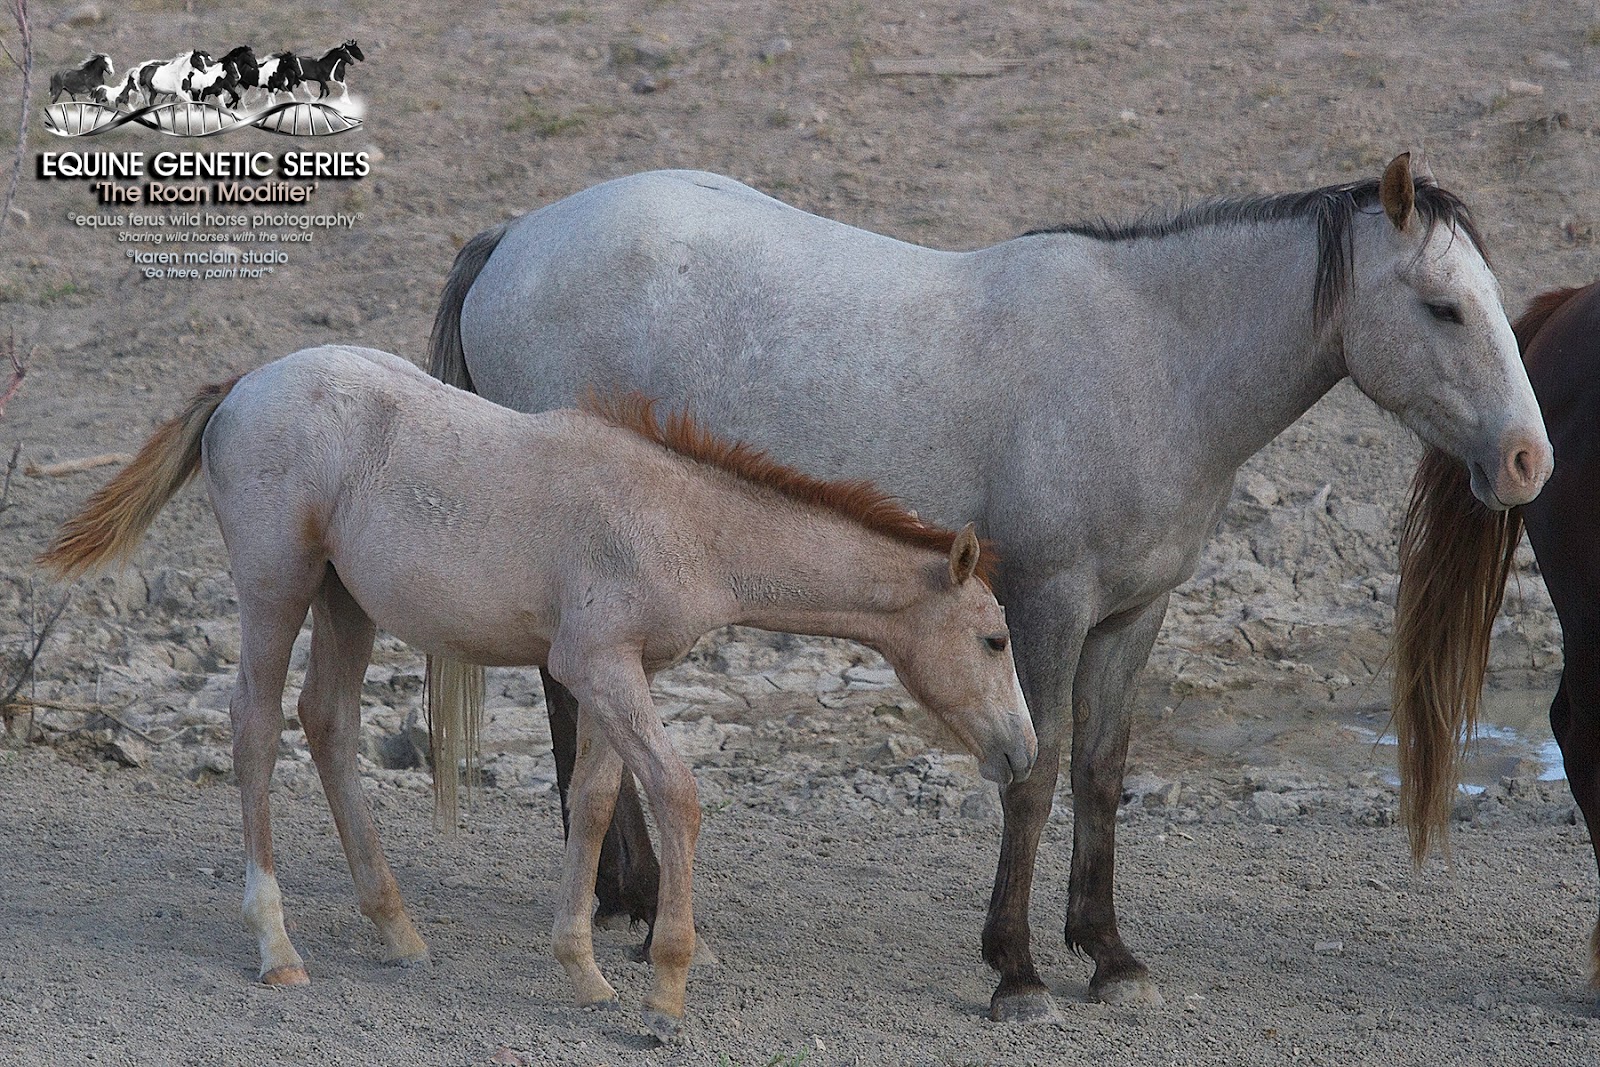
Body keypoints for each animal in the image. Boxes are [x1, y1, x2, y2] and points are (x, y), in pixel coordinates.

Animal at [37, 345, 1036, 1042]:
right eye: (995, 637)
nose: (1023, 751)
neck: (683, 521)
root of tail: (247, 382)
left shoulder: (610, 671)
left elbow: (594, 800)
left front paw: (584, 971)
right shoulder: (600, 665)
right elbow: (676, 793)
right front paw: (665, 994)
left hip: (345, 600)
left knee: (328, 722)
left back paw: (397, 928)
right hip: (276, 587)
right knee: (253, 726)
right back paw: (278, 948)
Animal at [428, 153, 1552, 1020]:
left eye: (1496, 303)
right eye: (1443, 307)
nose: (1527, 461)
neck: (1153, 359)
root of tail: (518, 235)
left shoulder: (1132, 616)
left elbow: (1100, 769)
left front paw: (1109, 955)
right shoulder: (1047, 605)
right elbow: (1034, 771)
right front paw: (1018, 971)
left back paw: (628, 899)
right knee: (571, 702)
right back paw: (631, 900)